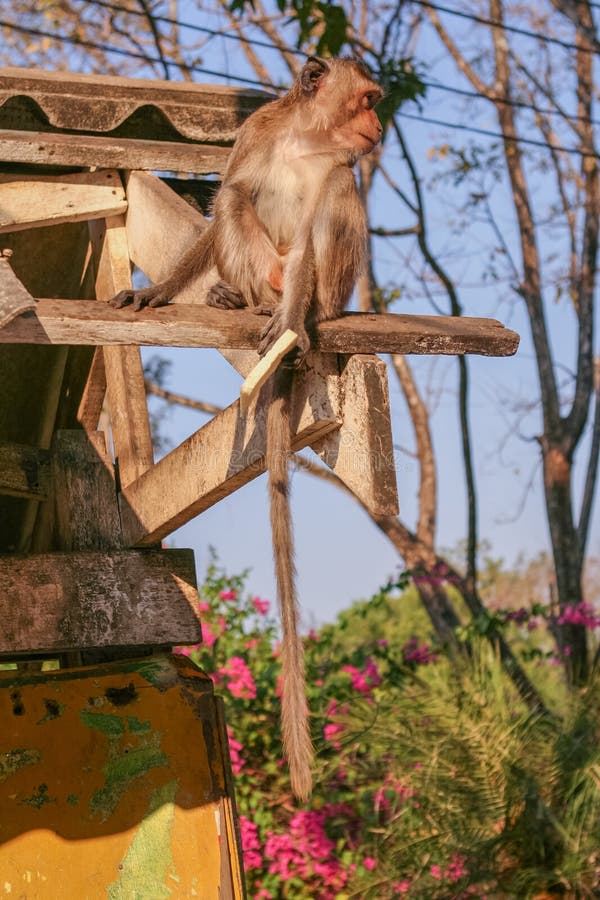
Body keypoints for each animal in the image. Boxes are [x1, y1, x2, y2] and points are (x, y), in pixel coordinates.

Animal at [111, 56, 383, 799]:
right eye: (369, 101)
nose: (379, 125)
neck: (307, 136)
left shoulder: (340, 164)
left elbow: (328, 203)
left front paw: (291, 321)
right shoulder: (258, 133)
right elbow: (232, 189)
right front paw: (155, 292)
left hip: (326, 289)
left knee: (325, 223)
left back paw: (288, 323)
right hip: (260, 266)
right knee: (235, 203)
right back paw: (238, 298)